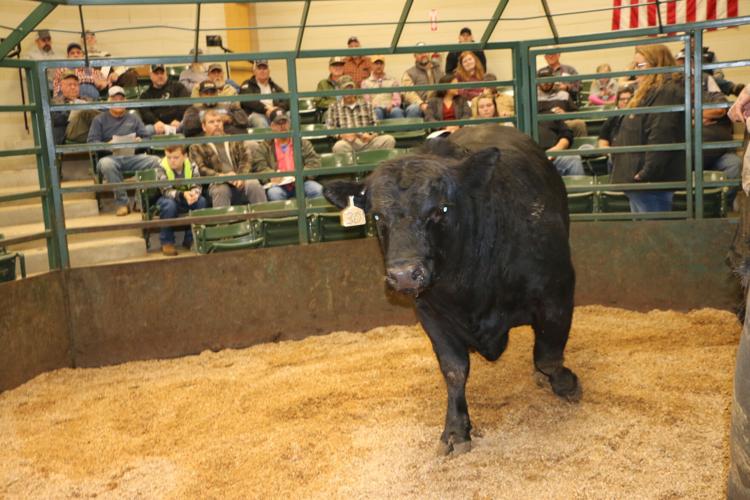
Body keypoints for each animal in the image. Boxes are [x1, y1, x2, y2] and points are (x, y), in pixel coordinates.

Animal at [323, 124, 581, 455]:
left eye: (441, 209)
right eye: (377, 215)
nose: (404, 274)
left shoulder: (556, 290)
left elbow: (548, 354)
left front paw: (565, 383)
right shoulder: (431, 312)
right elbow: (454, 370)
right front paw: (456, 430)